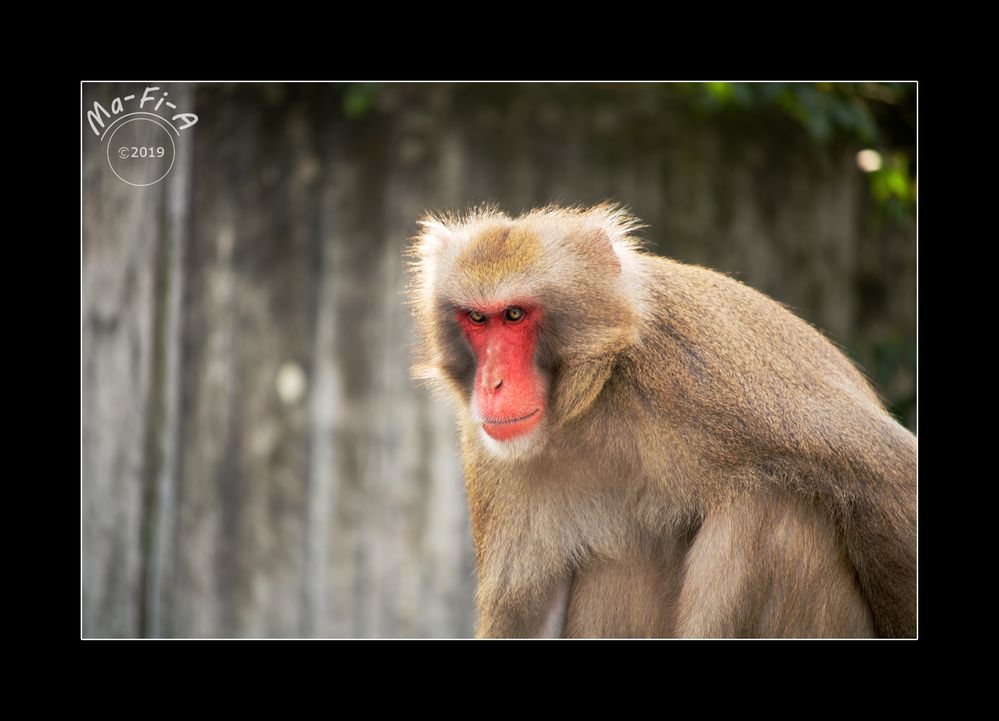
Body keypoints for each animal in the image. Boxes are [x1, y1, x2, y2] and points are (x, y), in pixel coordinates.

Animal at [407, 203, 916, 639]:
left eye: (514, 314)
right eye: (477, 318)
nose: (491, 383)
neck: (592, 402)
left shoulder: (703, 373)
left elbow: (893, 480)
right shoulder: (490, 451)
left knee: (773, 512)